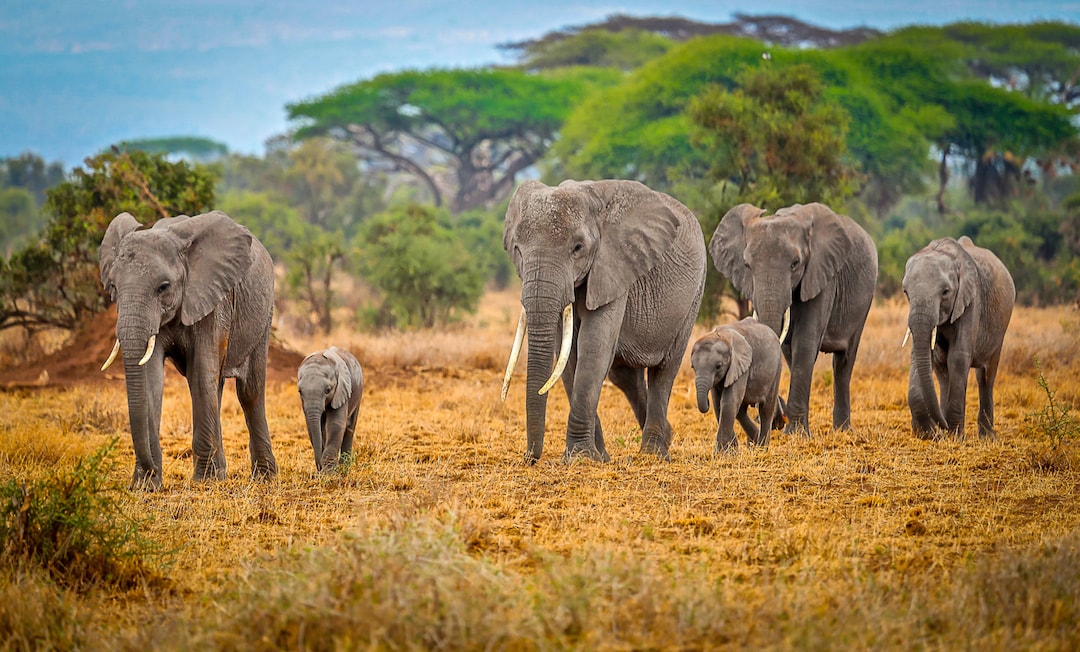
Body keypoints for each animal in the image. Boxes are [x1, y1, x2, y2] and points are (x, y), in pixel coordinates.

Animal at [99, 210, 278, 489]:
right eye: (114, 287)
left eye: (163, 287)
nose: (149, 471)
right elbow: (152, 377)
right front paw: (147, 486)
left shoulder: (213, 300)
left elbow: (201, 373)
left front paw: (203, 482)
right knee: (216, 388)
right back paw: (221, 473)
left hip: (264, 311)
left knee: (249, 392)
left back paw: (264, 477)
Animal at [501, 179, 707, 463]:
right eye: (517, 250)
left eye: (578, 248)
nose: (529, 458)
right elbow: (568, 356)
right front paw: (598, 458)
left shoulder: (614, 266)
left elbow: (593, 347)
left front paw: (581, 458)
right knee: (625, 377)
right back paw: (666, 436)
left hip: (694, 295)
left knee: (665, 370)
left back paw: (654, 453)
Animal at [691, 318, 784, 451]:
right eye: (693, 367)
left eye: (718, 366)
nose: (706, 402)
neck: (722, 336)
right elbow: (718, 404)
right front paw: (731, 451)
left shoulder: (741, 366)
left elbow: (728, 402)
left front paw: (723, 453)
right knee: (741, 411)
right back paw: (754, 442)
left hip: (777, 368)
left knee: (766, 409)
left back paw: (762, 448)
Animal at [710, 202, 878, 436]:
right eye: (747, 265)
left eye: (795, 264)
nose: (777, 420)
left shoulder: (822, 274)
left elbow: (805, 341)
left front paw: (796, 433)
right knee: (791, 352)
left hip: (864, 300)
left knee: (844, 360)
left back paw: (842, 430)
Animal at [902, 236, 1014, 439]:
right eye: (906, 292)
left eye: (945, 292)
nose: (941, 427)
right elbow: (918, 355)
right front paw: (928, 434)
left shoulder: (971, 299)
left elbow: (958, 356)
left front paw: (954, 435)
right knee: (942, 371)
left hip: (1000, 329)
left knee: (986, 376)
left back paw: (987, 437)